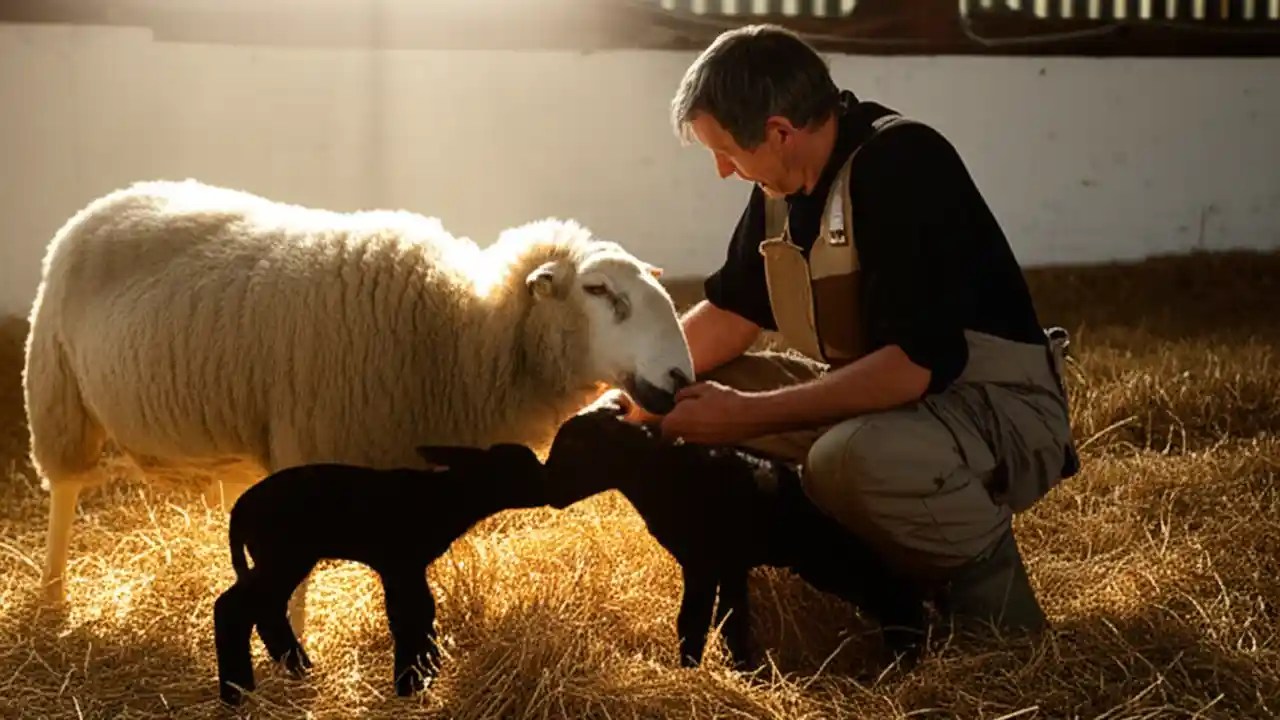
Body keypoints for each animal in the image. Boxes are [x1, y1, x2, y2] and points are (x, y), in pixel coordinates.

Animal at [21, 178, 694, 636]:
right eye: (598, 289)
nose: (680, 377)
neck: (459, 331)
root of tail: (106, 203)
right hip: (55, 389)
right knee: (65, 490)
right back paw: (53, 598)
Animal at [213, 441, 549, 705]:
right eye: (518, 468)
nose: (549, 482)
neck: (444, 498)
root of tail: (240, 509)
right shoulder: (400, 562)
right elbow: (410, 614)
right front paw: (411, 680)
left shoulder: (405, 566)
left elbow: (419, 611)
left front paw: (424, 671)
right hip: (283, 554)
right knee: (233, 607)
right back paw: (236, 693)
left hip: (284, 558)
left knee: (266, 611)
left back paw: (297, 671)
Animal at [540, 395, 931, 671]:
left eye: (574, 450)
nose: (549, 492)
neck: (662, 469)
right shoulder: (730, 564)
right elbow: (731, 619)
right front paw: (741, 669)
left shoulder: (702, 562)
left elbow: (694, 620)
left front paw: (690, 672)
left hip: (833, 561)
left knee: (897, 595)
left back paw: (905, 659)